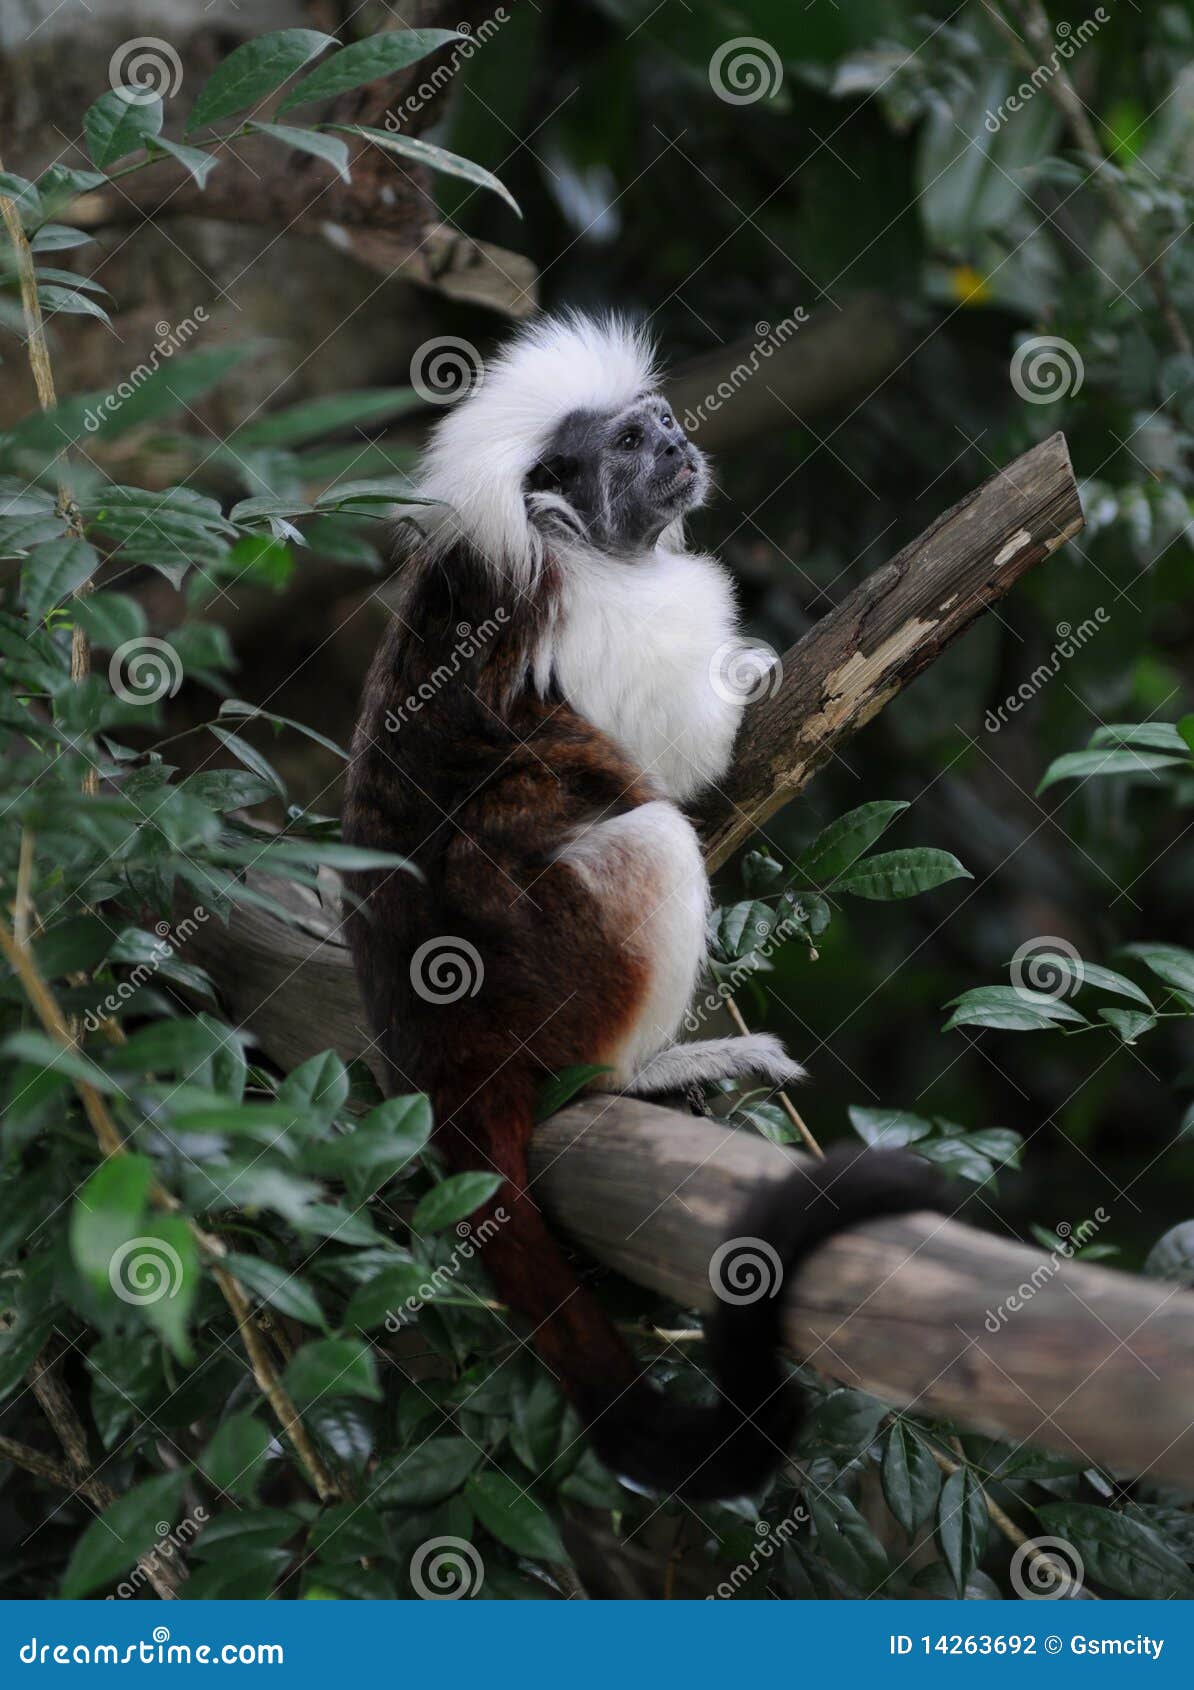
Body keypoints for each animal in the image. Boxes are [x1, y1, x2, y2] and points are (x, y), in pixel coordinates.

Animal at [342, 312, 945, 1500]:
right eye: (628, 444)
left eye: (661, 419)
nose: (677, 443)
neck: (566, 543)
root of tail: (446, 1046)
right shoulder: (606, 618)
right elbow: (679, 756)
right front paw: (752, 667)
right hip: (562, 974)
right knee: (651, 839)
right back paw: (648, 1070)